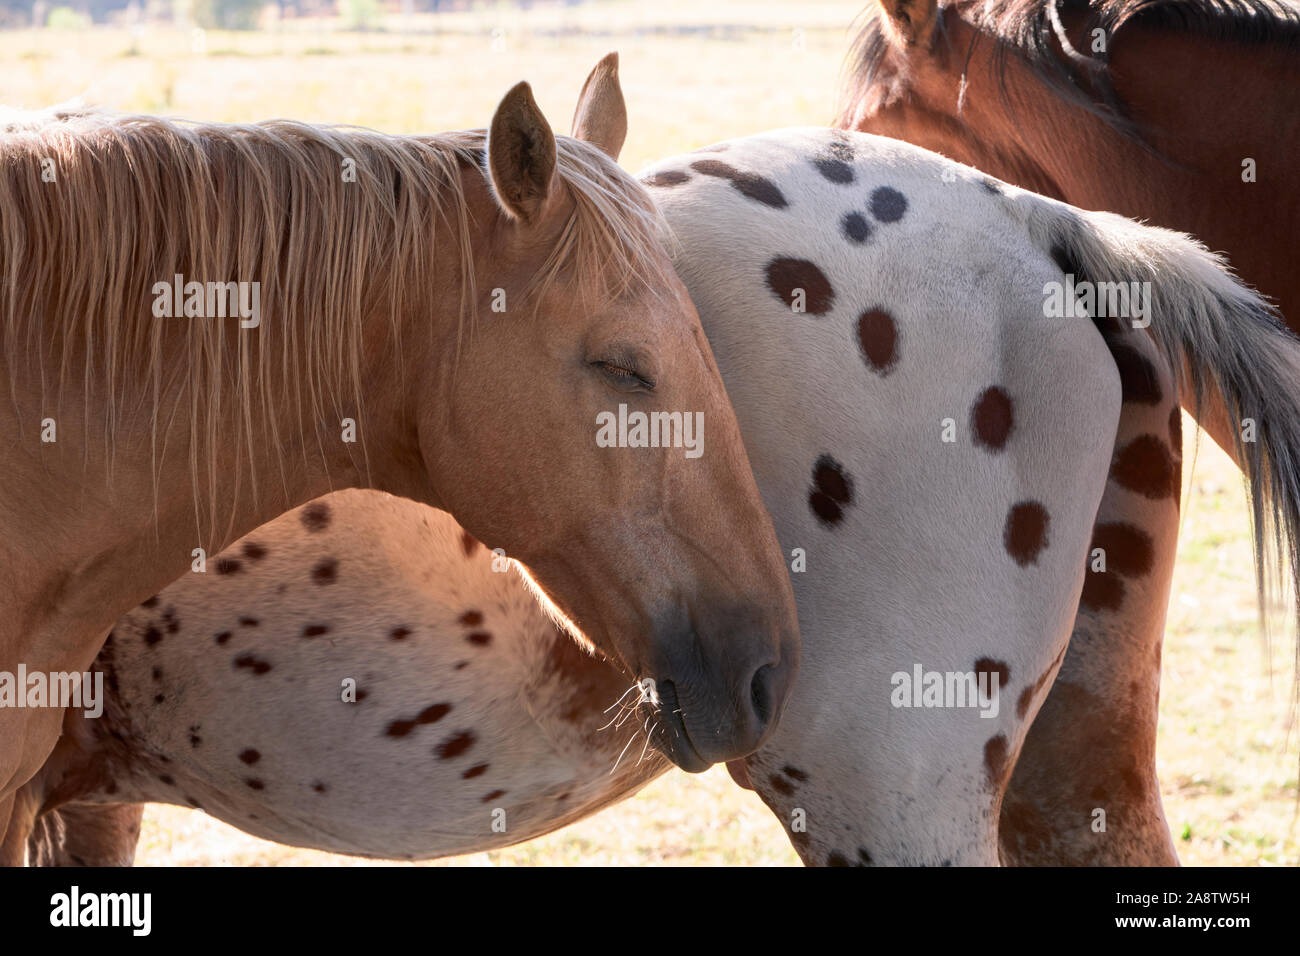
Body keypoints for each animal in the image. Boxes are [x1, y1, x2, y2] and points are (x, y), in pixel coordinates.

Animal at [19, 128, 1297, 865]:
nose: (750, 656)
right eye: (627, 365)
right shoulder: (80, 796)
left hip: (891, 796)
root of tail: (1032, 215)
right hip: (1074, 755)